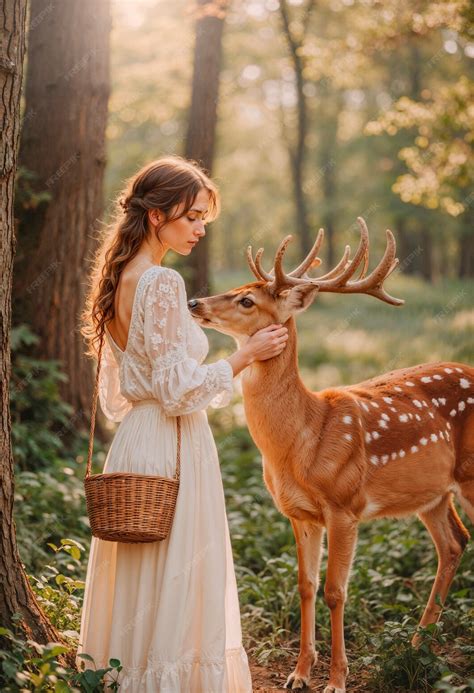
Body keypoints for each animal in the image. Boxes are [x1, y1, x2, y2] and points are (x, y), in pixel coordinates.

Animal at [187, 217, 474, 692]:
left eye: (247, 300)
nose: (193, 301)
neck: (304, 439)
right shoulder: (299, 513)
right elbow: (305, 585)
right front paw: (299, 673)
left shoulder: (345, 505)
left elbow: (336, 591)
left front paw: (337, 678)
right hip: (433, 495)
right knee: (454, 543)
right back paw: (419, 643)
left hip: (469, 476)